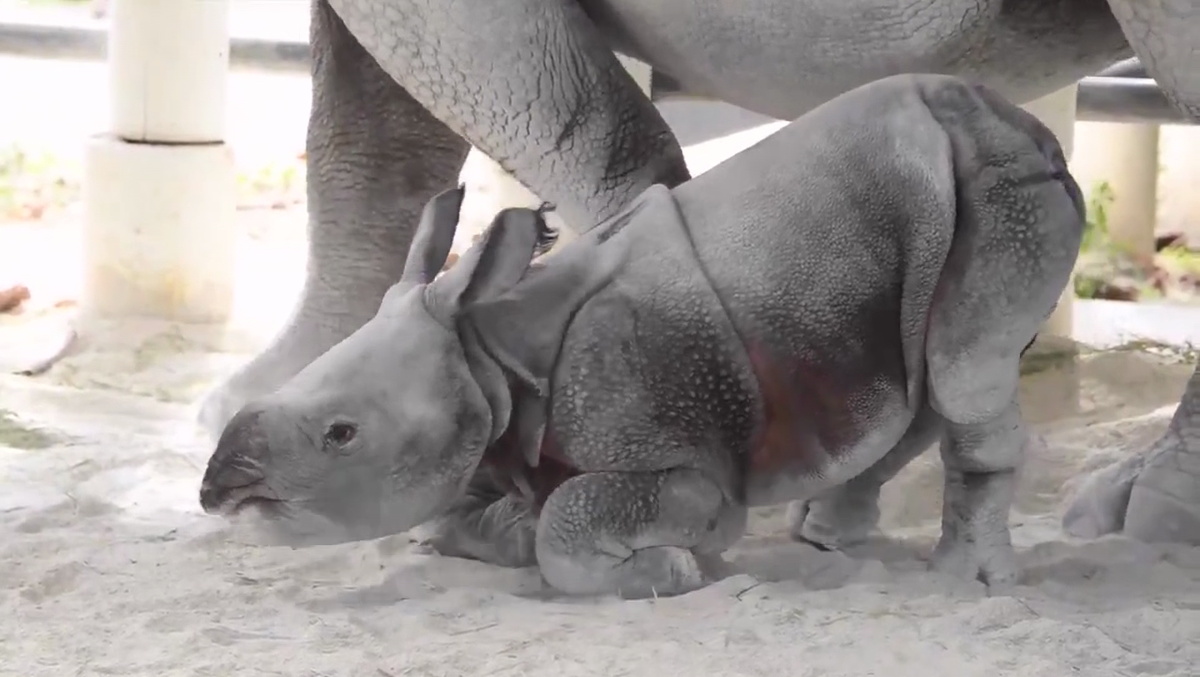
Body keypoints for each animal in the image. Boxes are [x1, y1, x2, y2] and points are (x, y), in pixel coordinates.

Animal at [198, 74, 1084, 599]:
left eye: (341, 434)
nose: (216, 493)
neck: (490, 349)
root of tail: (1020, 121)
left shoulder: (682, 461)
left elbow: (575, 526)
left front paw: (676, 566)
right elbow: (453, 518)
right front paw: (507, 530)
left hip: (1004, 189)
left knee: (964, 371)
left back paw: (968, 582)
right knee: (927, 372)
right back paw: (831, 541)